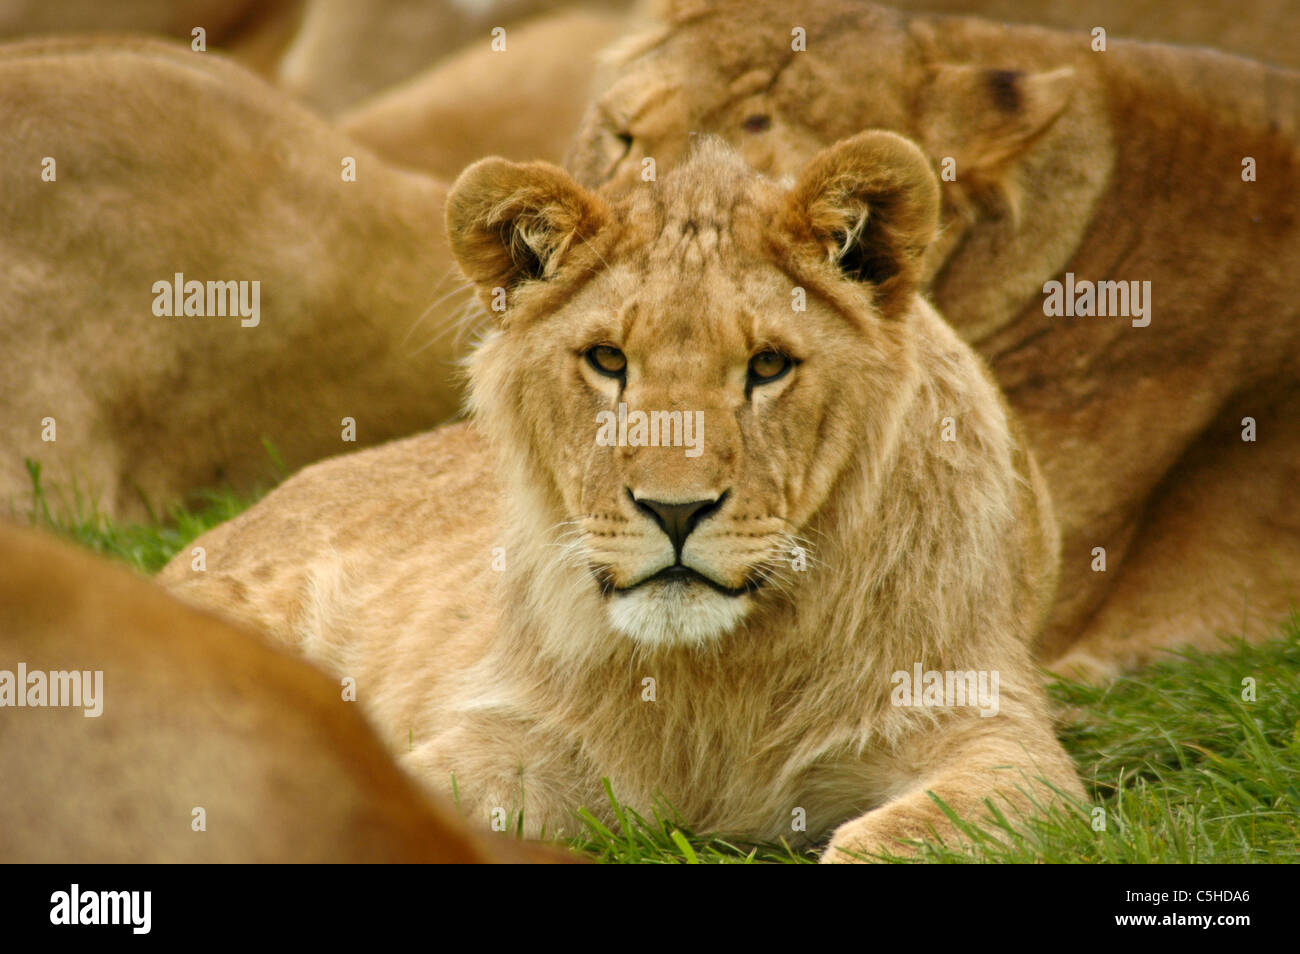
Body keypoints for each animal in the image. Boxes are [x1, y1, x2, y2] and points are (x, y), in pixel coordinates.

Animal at [161, 132, 1085, 862]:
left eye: (768, 365)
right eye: (608, 360)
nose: (675, 512)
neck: (718, 678)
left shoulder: (995, 733)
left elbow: (917, 835)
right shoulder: (523, 734)